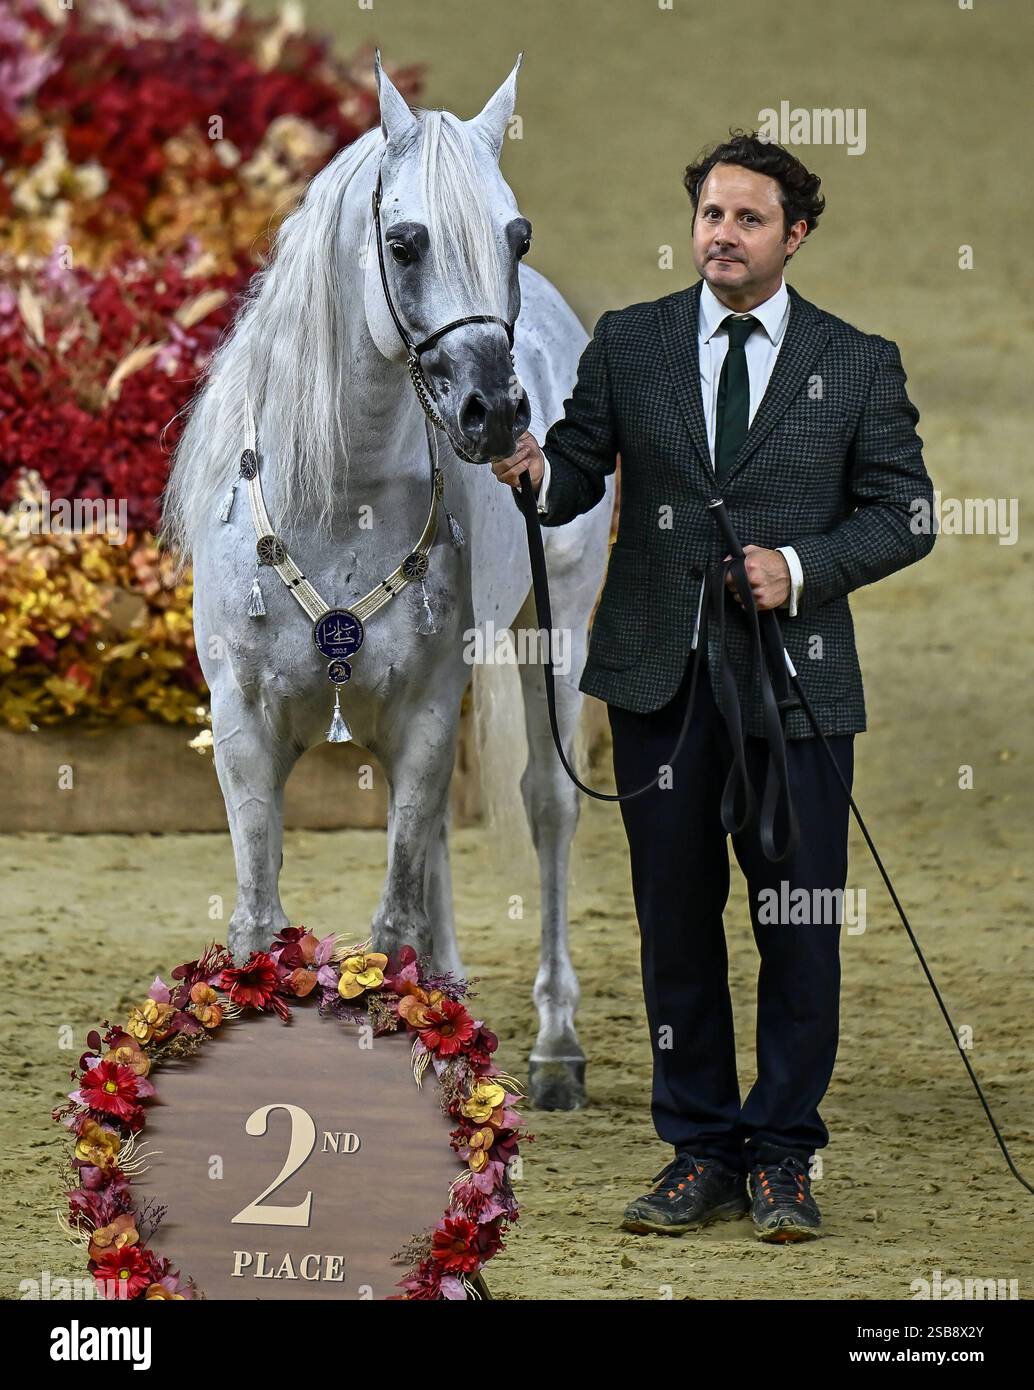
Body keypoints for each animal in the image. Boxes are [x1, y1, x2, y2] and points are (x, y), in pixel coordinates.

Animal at [159, 53, 614, 1111]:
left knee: (548, 805)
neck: (341, 508)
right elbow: (259, 918)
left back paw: (555, 1050)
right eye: (404, 244)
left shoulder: (425, 710)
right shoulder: (245, 725)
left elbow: (389, 918)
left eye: (517, 236)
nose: (499, 415)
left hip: (556, 629)